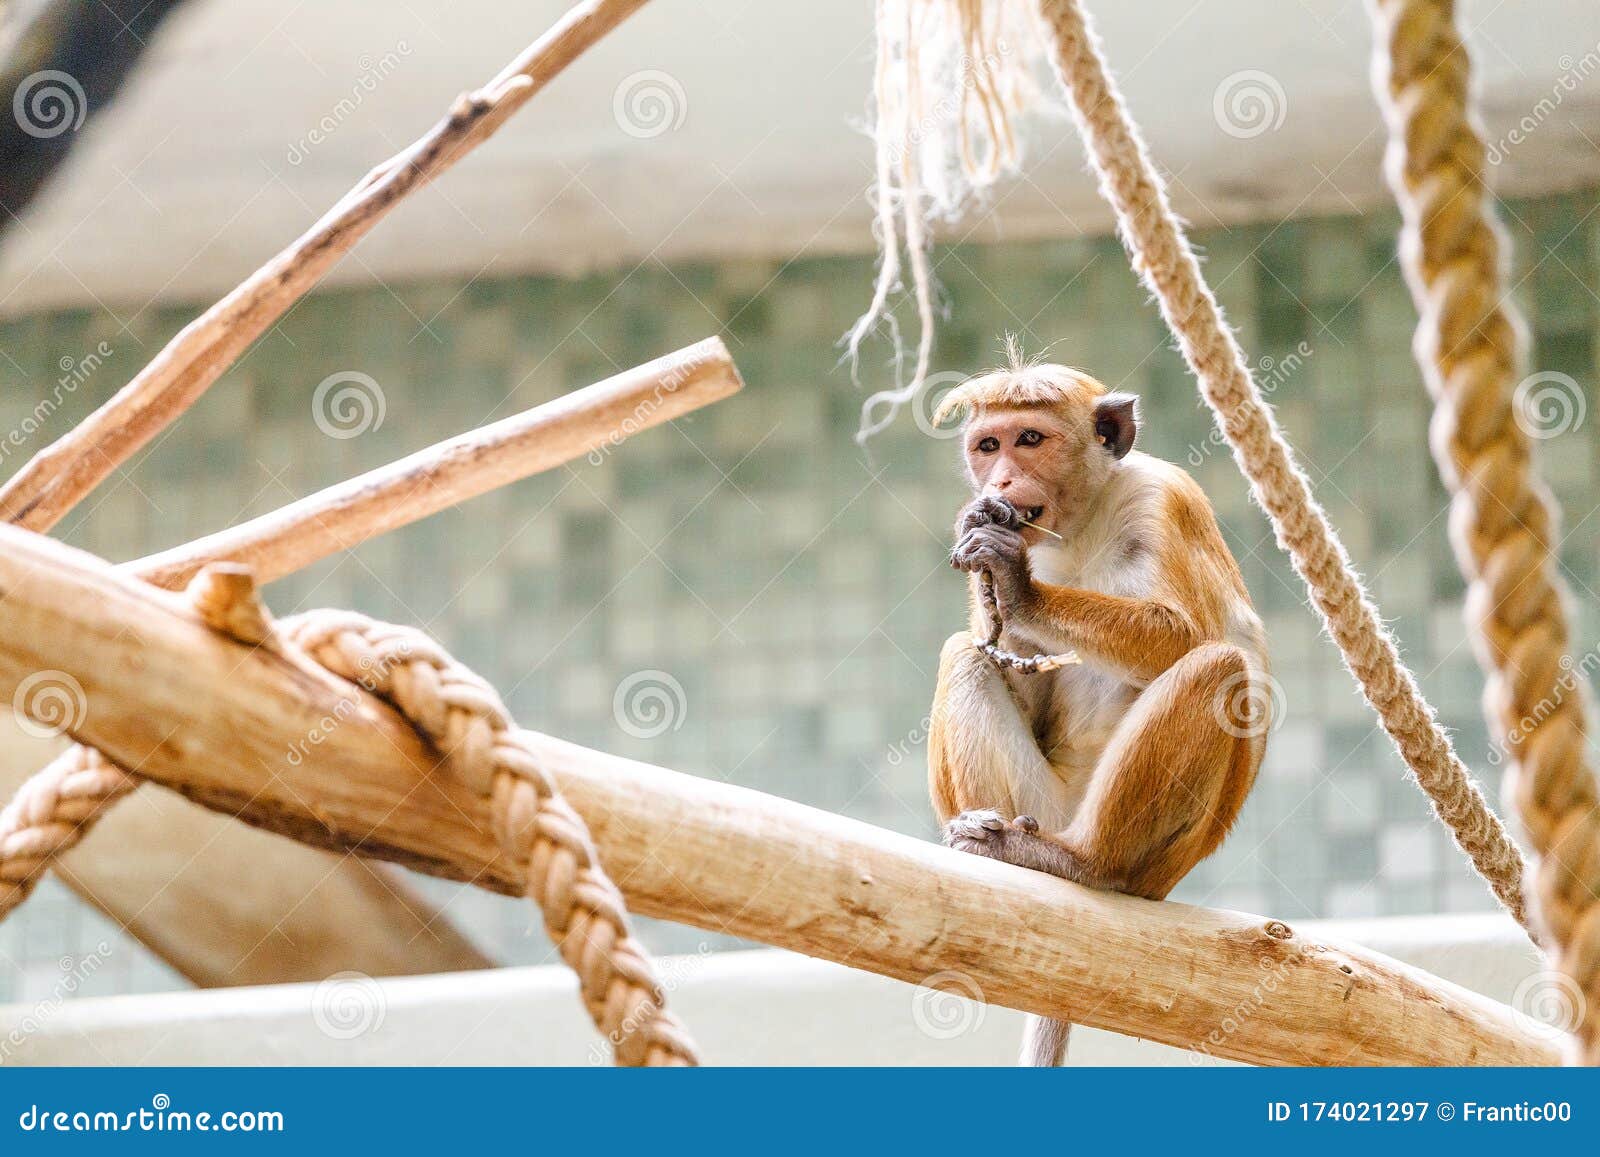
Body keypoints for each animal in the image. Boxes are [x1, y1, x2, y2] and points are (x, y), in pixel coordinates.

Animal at [925, 357, 1271, 1067]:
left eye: (1029, 439)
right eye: (988, 445)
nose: (1000, 479)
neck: (1082, 522)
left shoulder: (1163, 499)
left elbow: (1183, 636)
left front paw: (1018, 585)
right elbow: (1003, 660)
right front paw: (982, 551)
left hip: (1152, 858)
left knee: (1217, 669)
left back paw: (1086, 866)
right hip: (1039, 801)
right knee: (963, 656)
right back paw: (1001, 855)